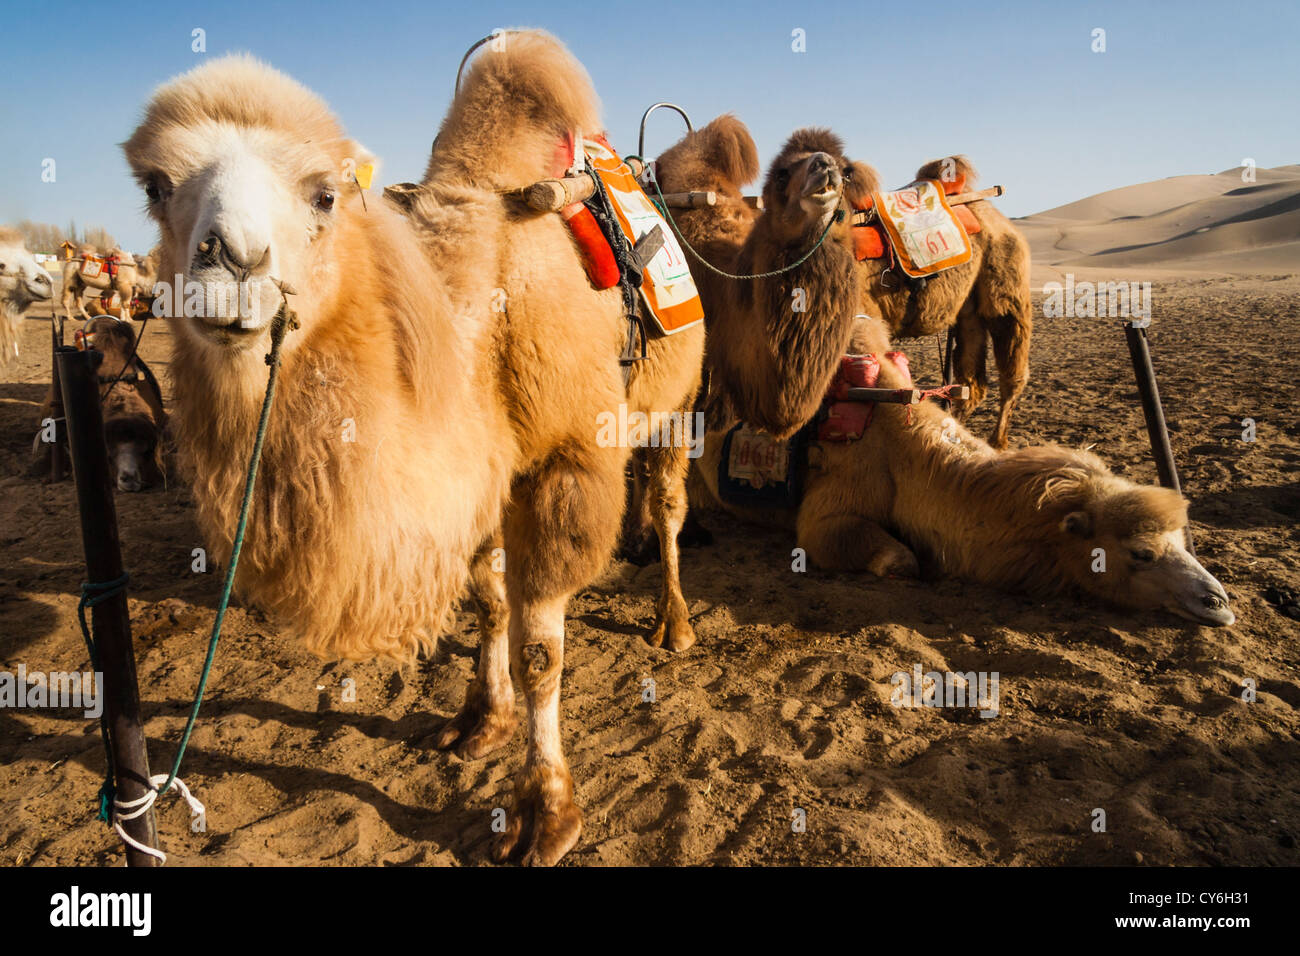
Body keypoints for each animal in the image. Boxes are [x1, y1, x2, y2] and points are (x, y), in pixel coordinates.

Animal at [123, 31, 701, 865]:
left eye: (325, 195)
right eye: (155, 185)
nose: (232, 263)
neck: (479, 313)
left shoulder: (561, 460)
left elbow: (540, 650)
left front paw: (545, 815)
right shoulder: (488, 466)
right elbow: (490, 600)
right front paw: (479, 724)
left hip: (679, 405)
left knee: (668, 501)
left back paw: (674, 625)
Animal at [659, 126, 1234, 626]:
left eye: (1184, 541)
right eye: (1141, 553)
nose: (1219, 601)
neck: (901, 444)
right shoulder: (825, 519)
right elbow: (900, 560)